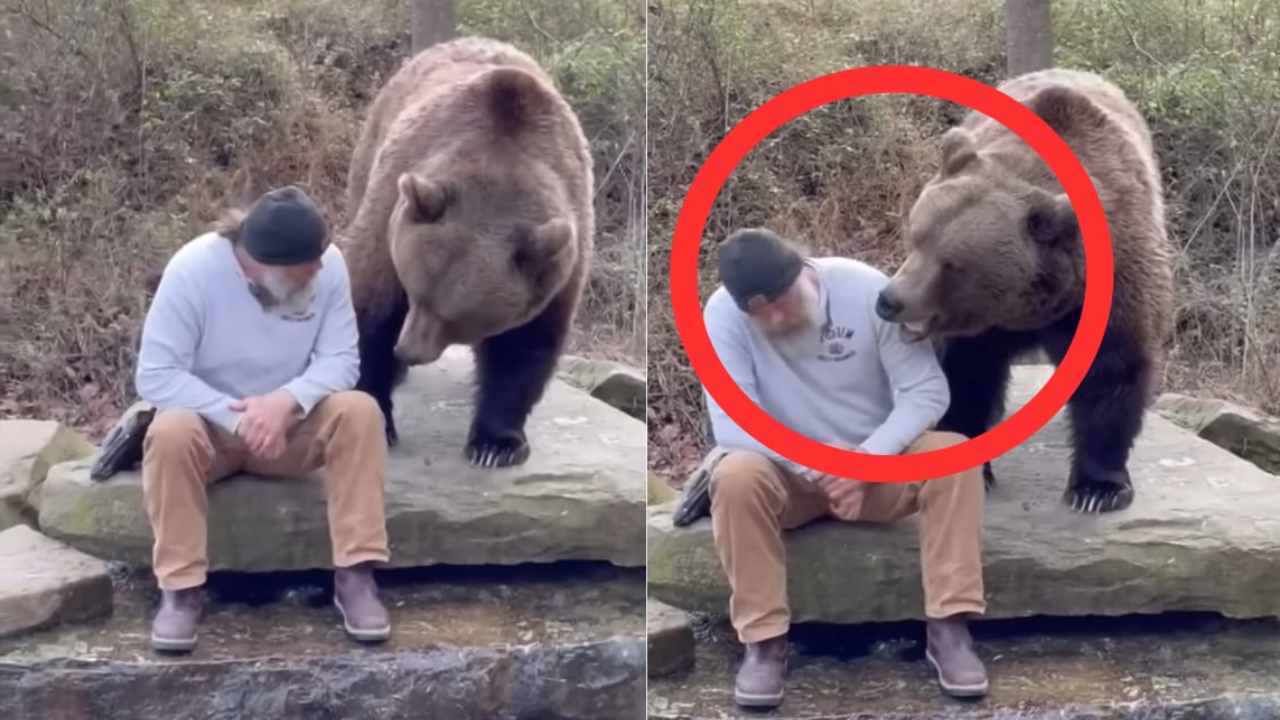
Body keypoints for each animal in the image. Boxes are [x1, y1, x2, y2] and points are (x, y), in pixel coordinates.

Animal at [338, 36, 594, 468]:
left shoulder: (558, 264)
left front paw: (496, 444)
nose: (409, 349)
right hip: (371, 147)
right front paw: (377, 412)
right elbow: (371, 308)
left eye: (455, 317)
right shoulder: (392, 209)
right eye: (415, 290)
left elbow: (524, 346)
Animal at [874, 68, 1175, 514]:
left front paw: (1097, 488)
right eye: (916, 237)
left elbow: (1114, 370)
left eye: (952, 263)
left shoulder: (1118, 280)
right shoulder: (977, 327)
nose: (890, 300)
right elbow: (967, 373)